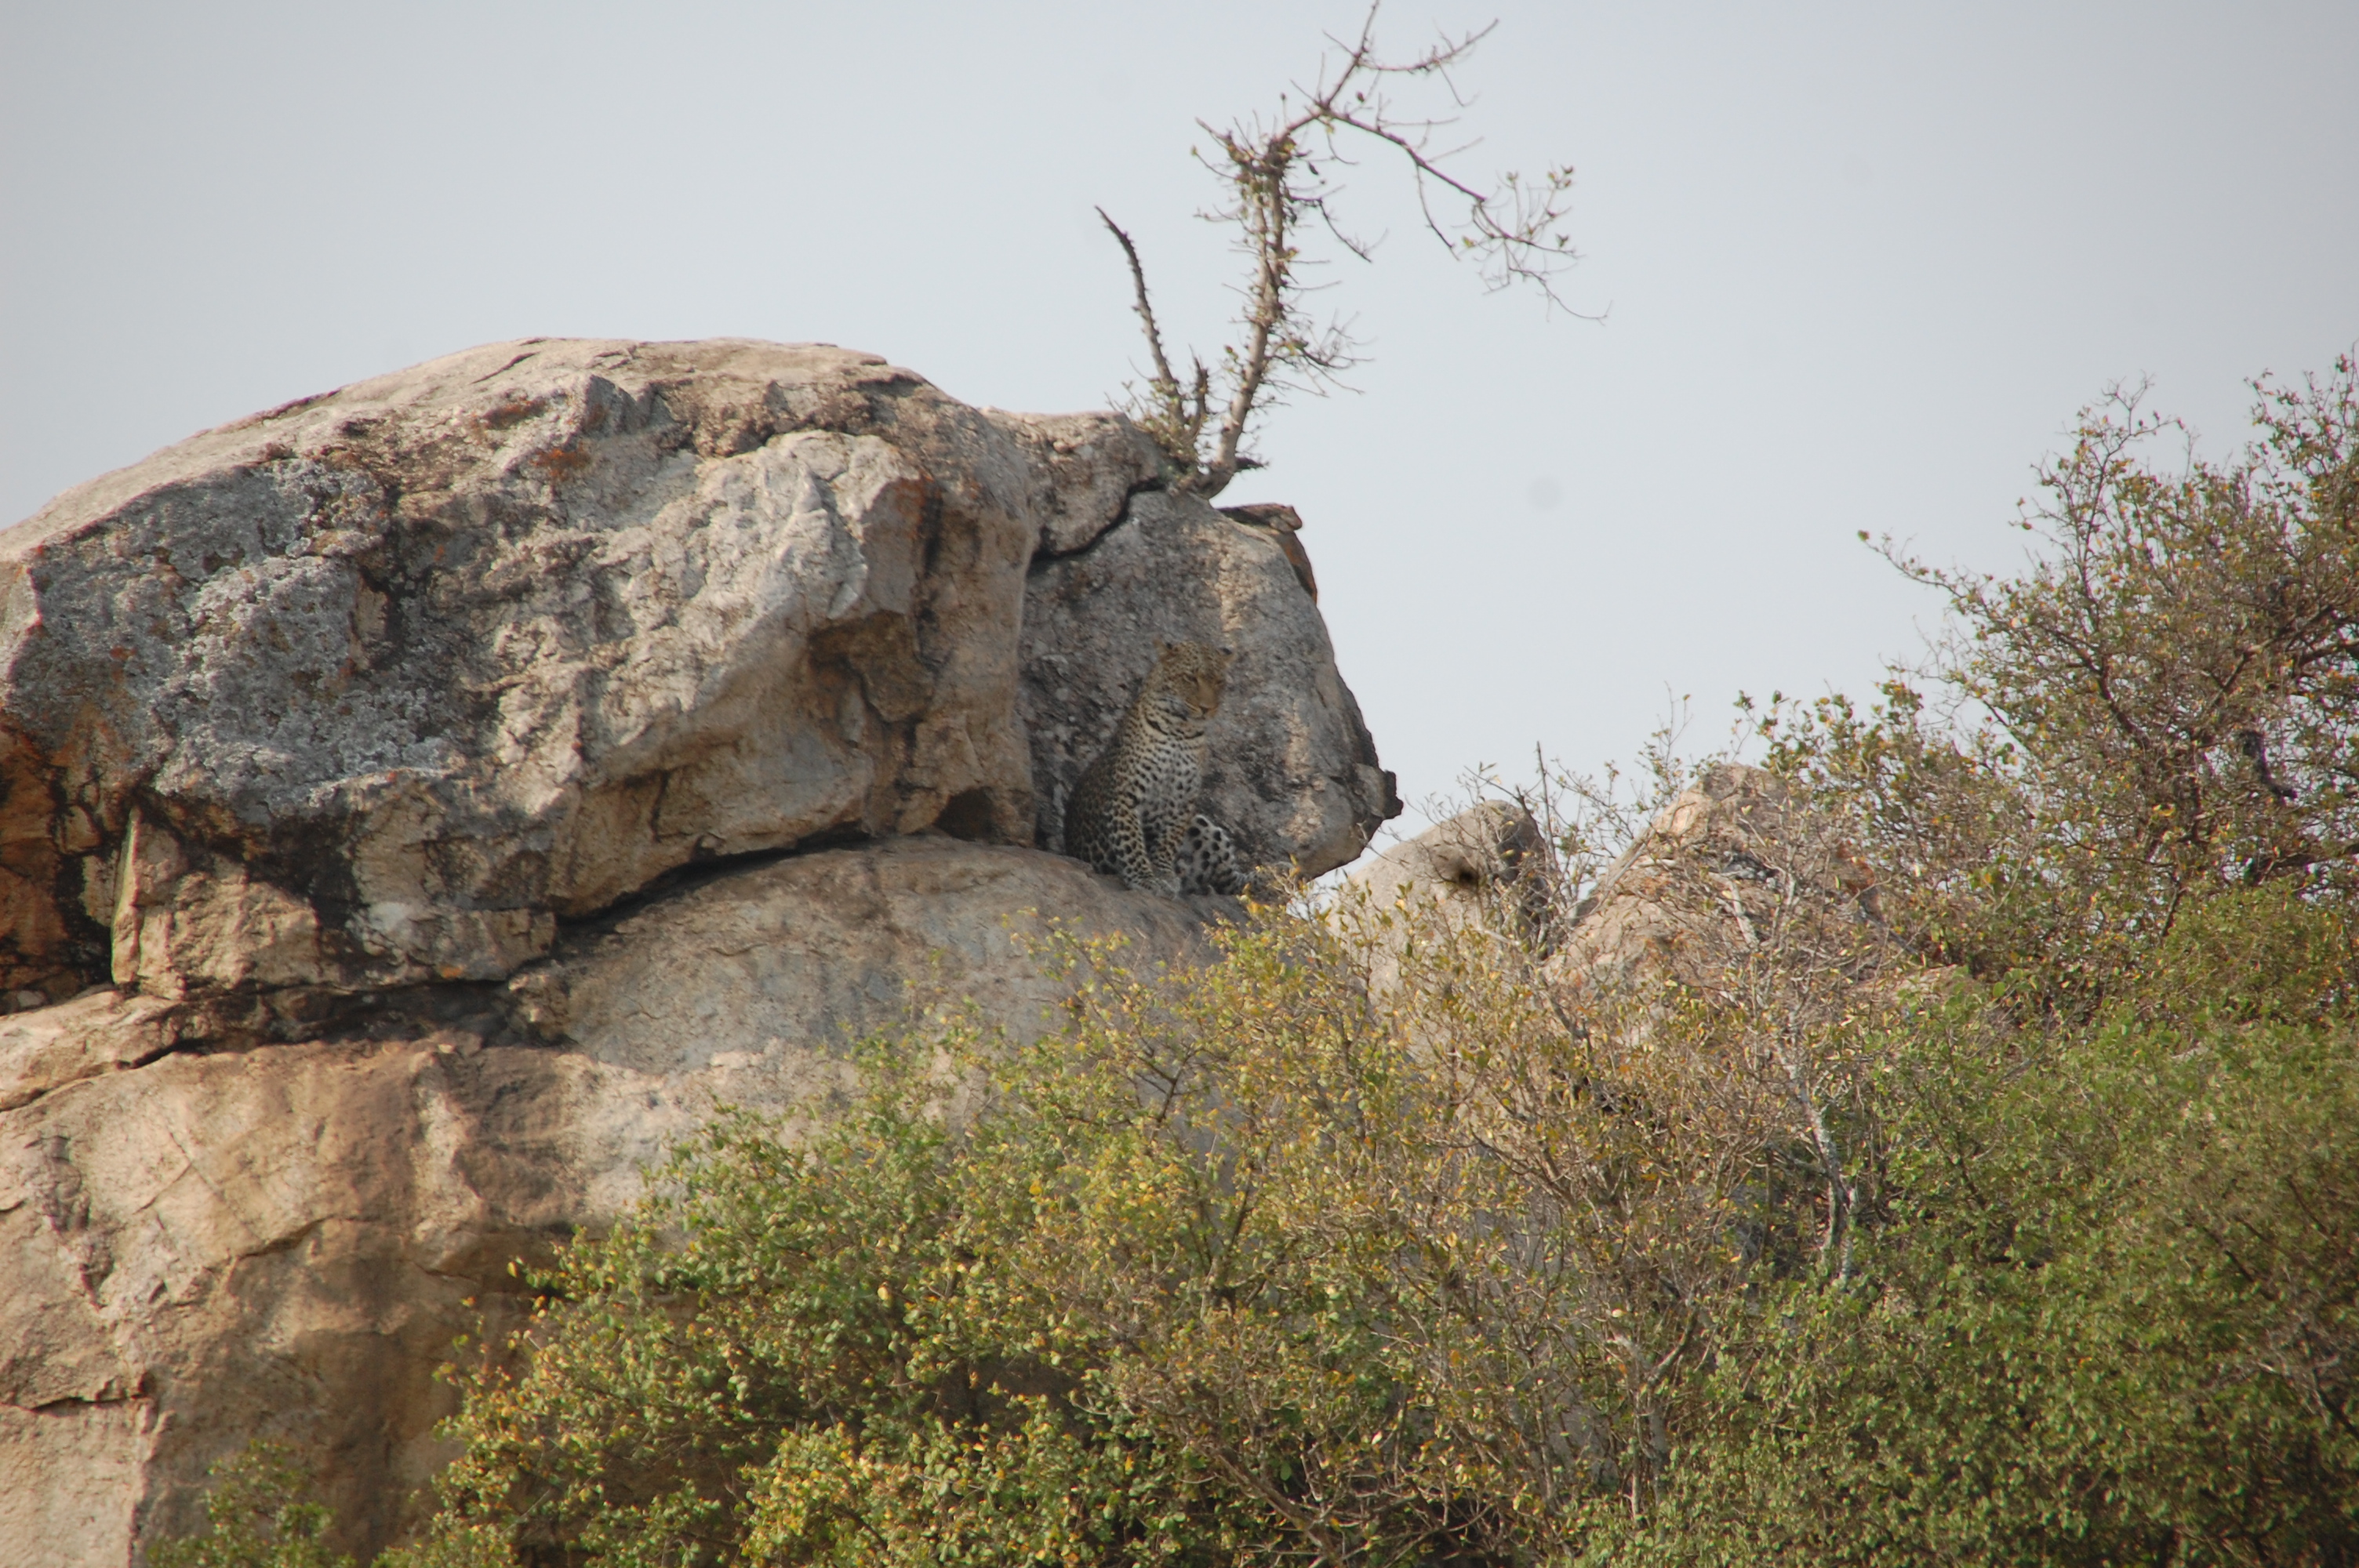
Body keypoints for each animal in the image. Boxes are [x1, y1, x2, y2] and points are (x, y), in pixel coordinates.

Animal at [1063, 640, 1248, 896]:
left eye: (1219, 682)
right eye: (1191, 678)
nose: (1207, 708)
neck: (1181, 731)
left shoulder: (1183, 802)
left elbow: (1169, 841)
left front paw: (1163, 874)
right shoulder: (1126, 796)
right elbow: (1132, 842)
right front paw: (1145, 878)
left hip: (1201, 825)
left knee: (1231, 882)